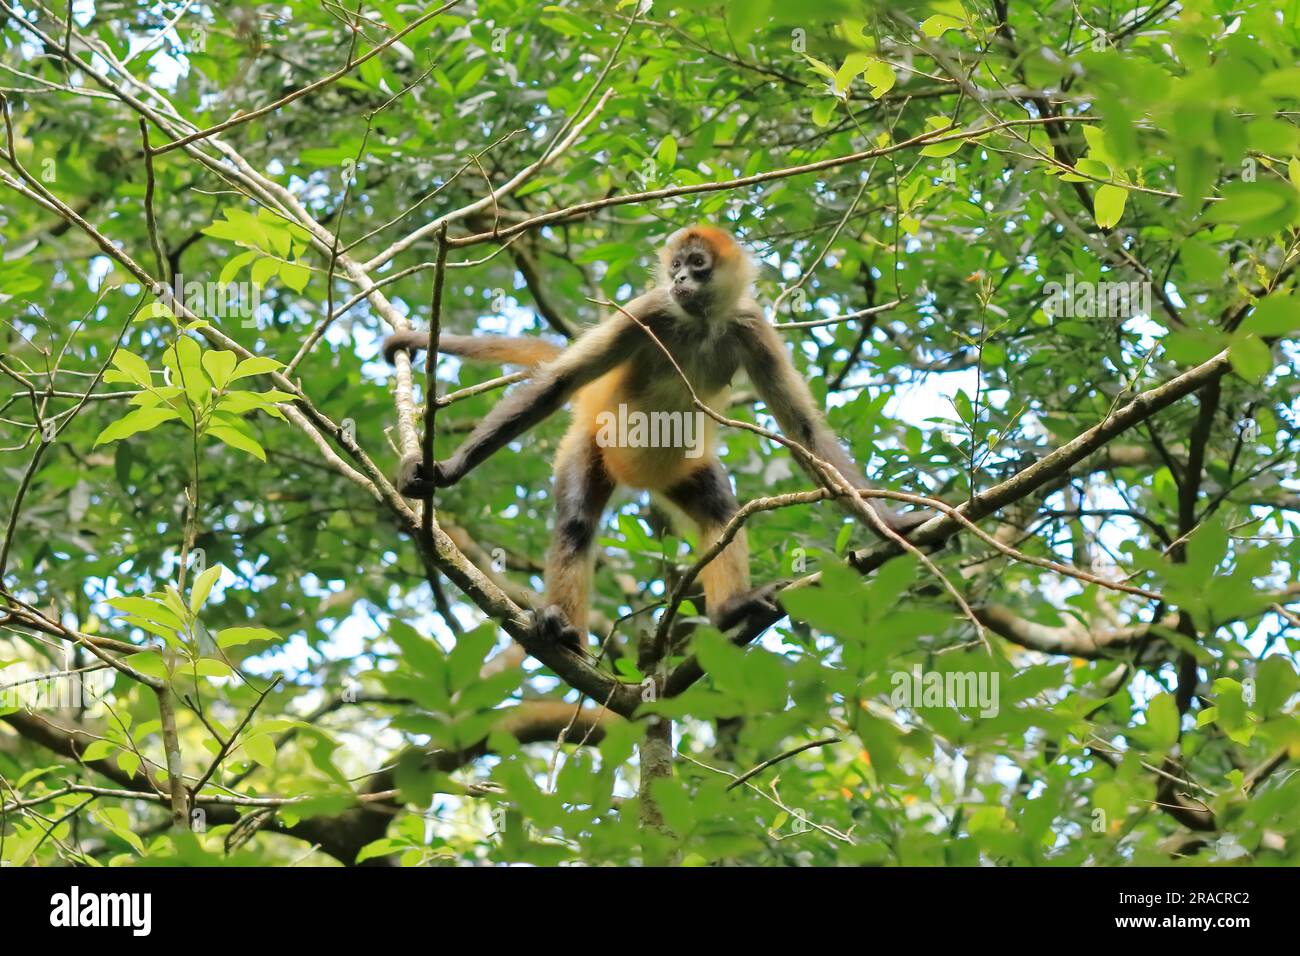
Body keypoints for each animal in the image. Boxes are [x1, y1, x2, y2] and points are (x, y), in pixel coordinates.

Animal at [385, 225, 931, 649]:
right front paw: (445, 471)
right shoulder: (647, 311)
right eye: (675, 268)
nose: (680, 279)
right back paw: (560, 625)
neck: (700, 325)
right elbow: (556, 384)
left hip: (682, 470)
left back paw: (730, 610)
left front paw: (891, 524)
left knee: (720, 511)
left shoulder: (751, 326)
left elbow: (803, 430)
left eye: (698, 265)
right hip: (590, 445)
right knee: (577, 523)